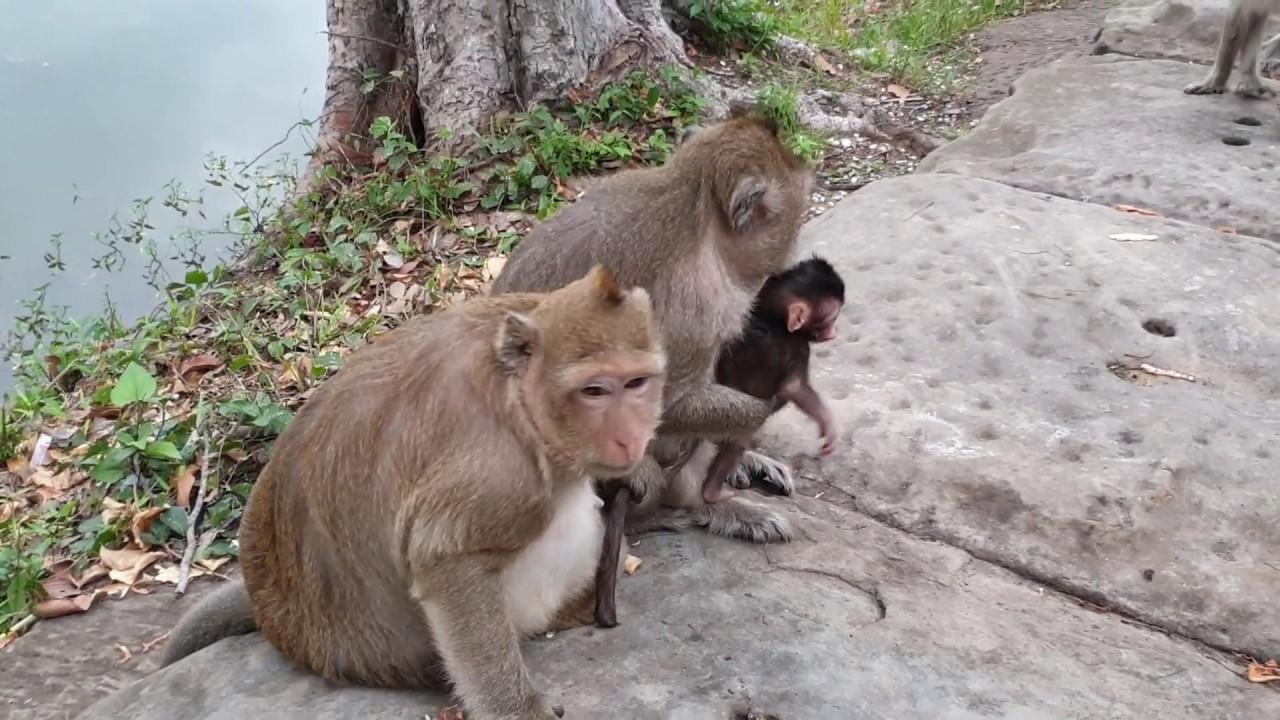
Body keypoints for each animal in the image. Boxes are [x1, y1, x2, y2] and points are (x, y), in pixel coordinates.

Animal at [157, 265, 668, 720]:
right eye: (594, 391)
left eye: (636, 383)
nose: (629, 437)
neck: (518, 393)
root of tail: (278, 620)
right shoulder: (499, 472)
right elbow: (446, 562)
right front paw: (518, 711)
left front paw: (640, 469)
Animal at [488, 105, 815, 549]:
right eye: (794, 225)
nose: (791, 259)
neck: (693, 209)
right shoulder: (691, 308)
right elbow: (669, 403)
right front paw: (775, 402)